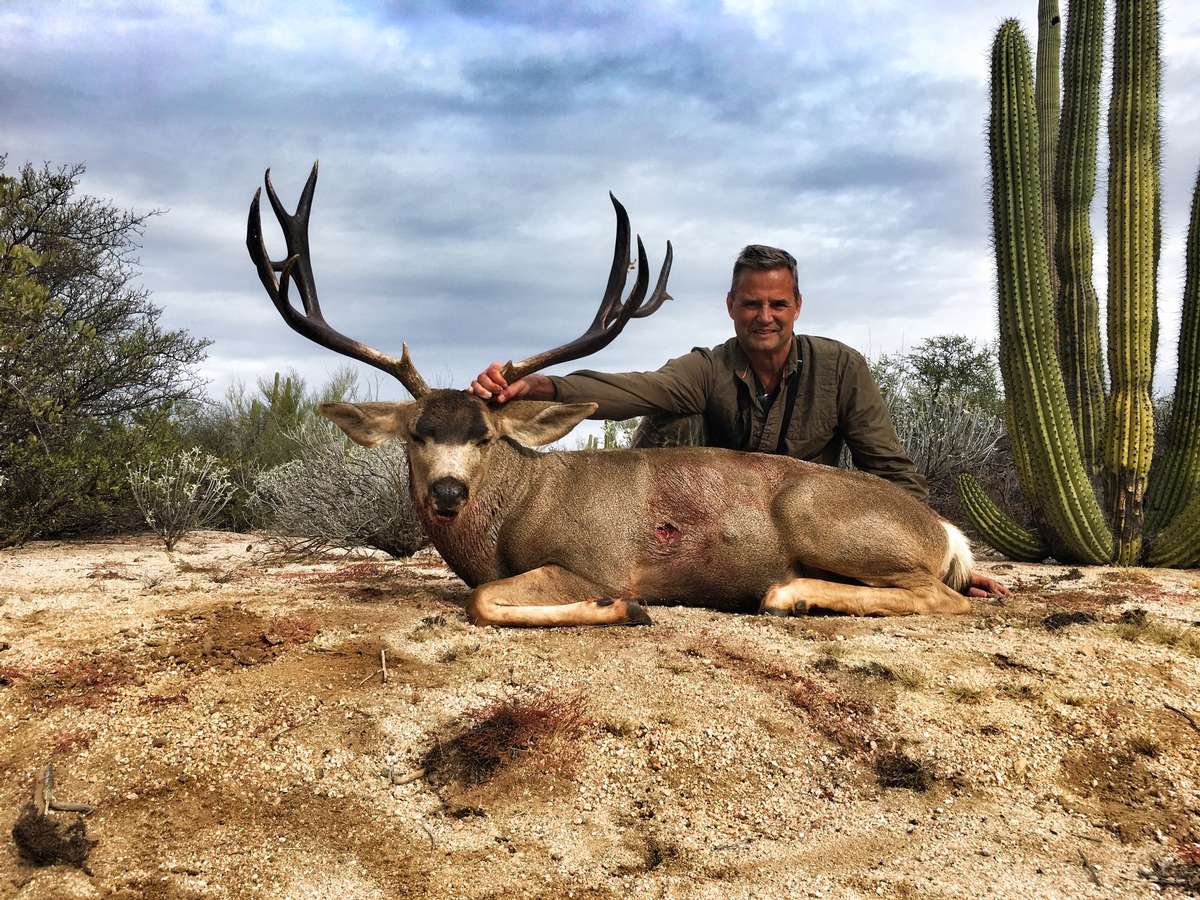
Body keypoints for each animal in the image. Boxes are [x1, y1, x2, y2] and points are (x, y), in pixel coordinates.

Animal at [246, 163, 975, 627]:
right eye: (418, 433)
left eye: (484, 436)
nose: (448, 492)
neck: (522, 507)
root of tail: (944, 530)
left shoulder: (594, 561)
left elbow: (482, 602)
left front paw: (625, 609)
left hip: (821, 518)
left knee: (947, 598)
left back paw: (787, 592)